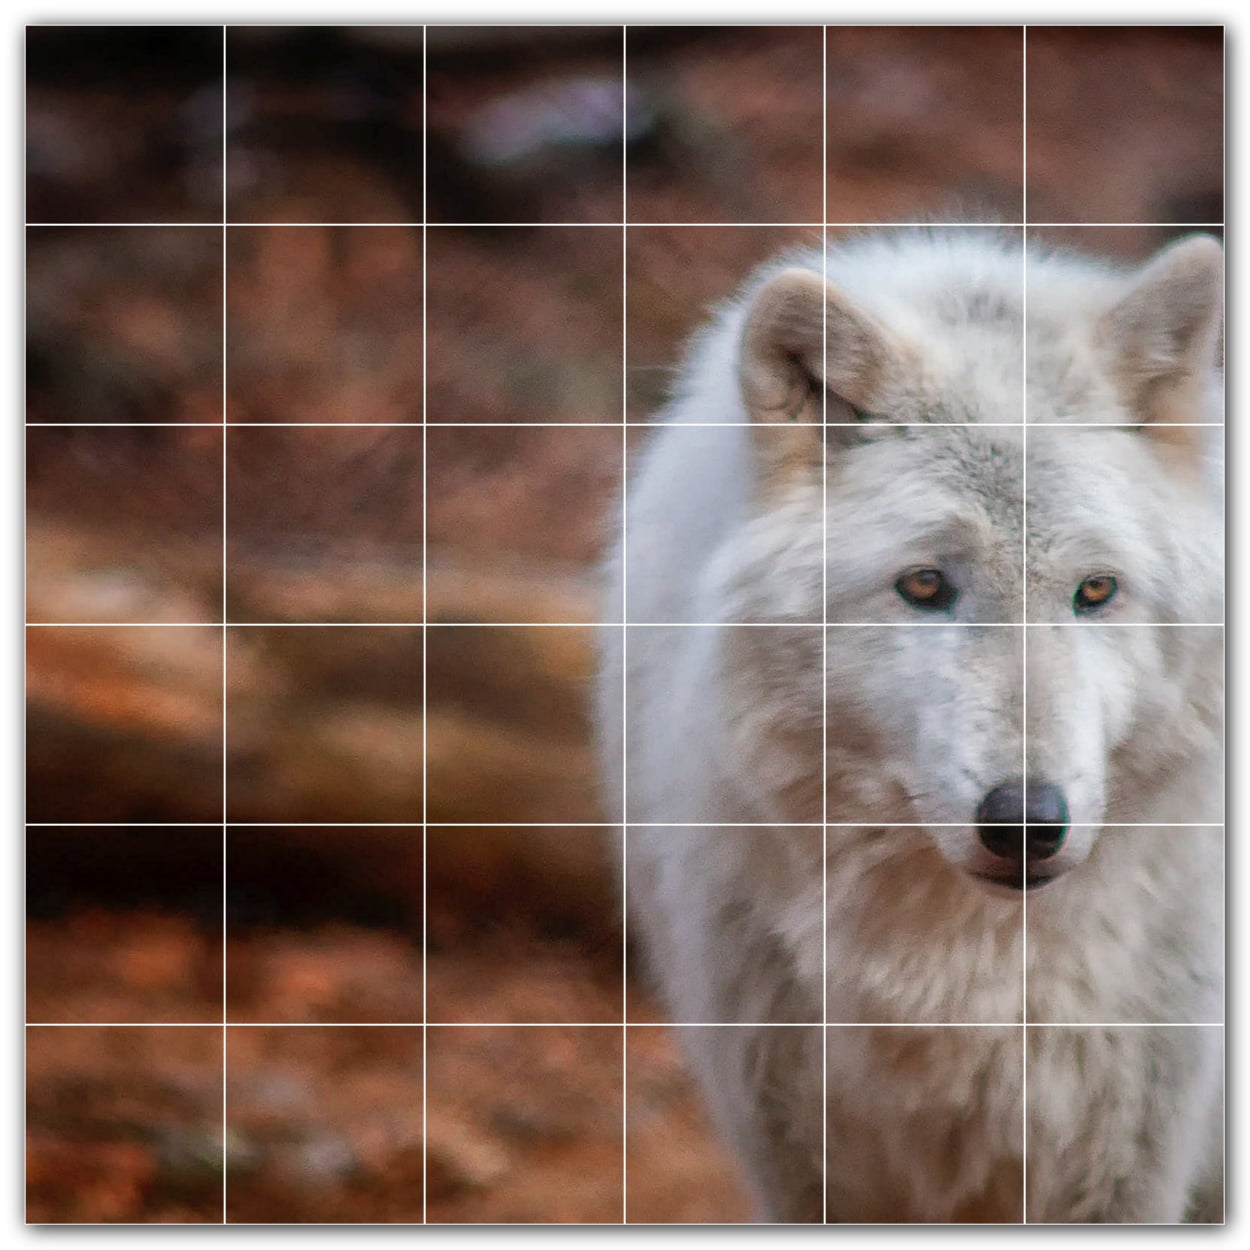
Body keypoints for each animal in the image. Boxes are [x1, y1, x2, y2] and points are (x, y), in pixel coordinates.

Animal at [596, 229, 1224, 1223]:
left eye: (1095, 591)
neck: (957, 976)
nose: (1025, 822)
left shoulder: (1126, 1160)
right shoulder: (799, 1155)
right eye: (925, 585)